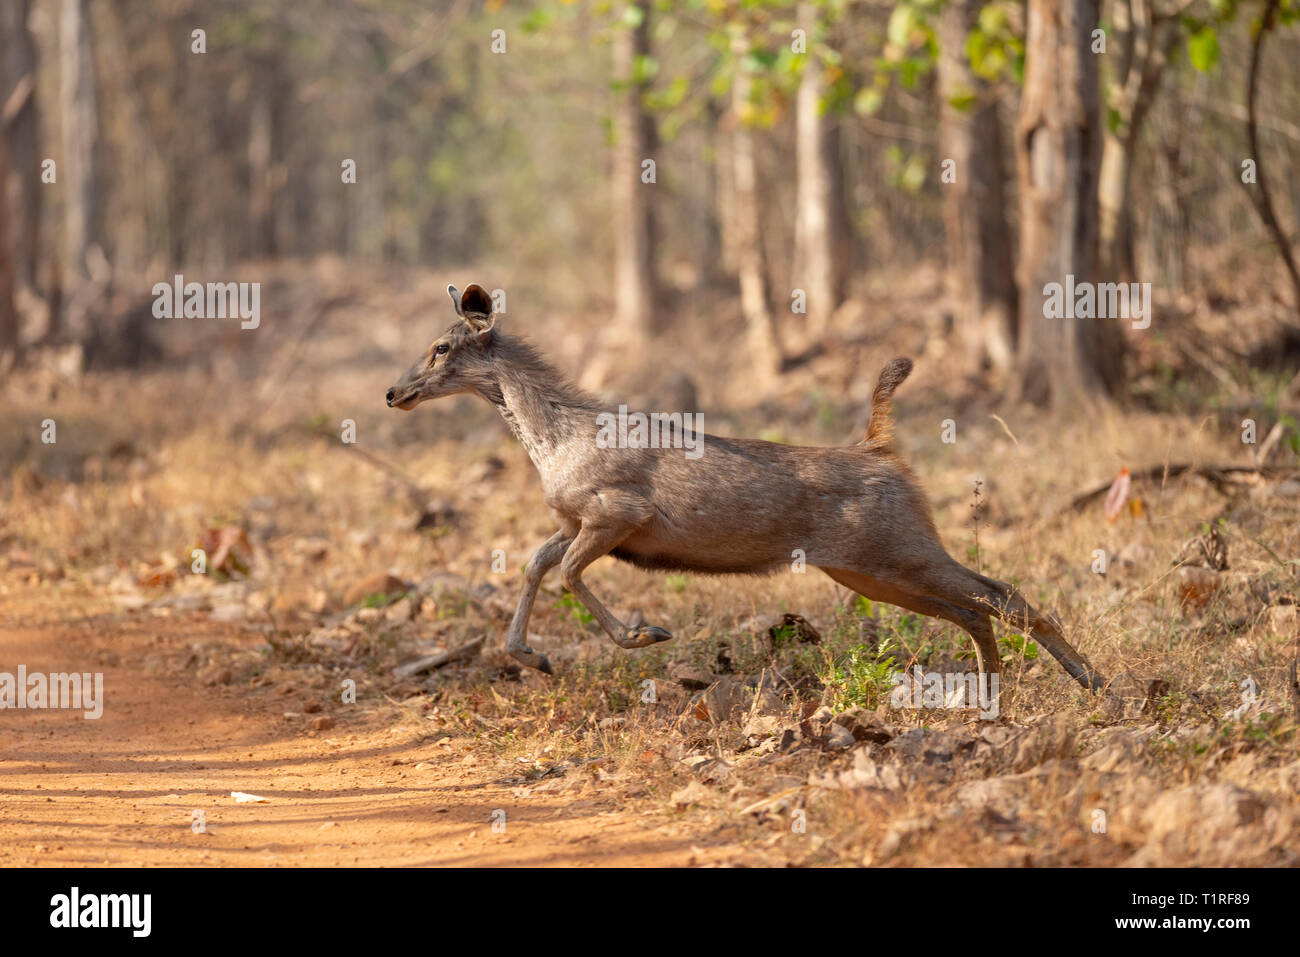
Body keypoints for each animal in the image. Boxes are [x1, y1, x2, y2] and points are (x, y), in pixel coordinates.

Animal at [386, 283, 1107, 693]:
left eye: (442, 347)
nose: (394, 392)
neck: (551, 439)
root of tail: (882, 450)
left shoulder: (619, 510)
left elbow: (563, 572)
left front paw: (644, 634)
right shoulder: (573, 519)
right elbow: (537, 564)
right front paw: (529, 656)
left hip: (899, 545)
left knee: (1002, 592)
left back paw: (1093, 682)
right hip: (868, 568)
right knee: (973, 610)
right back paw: (994, 693)